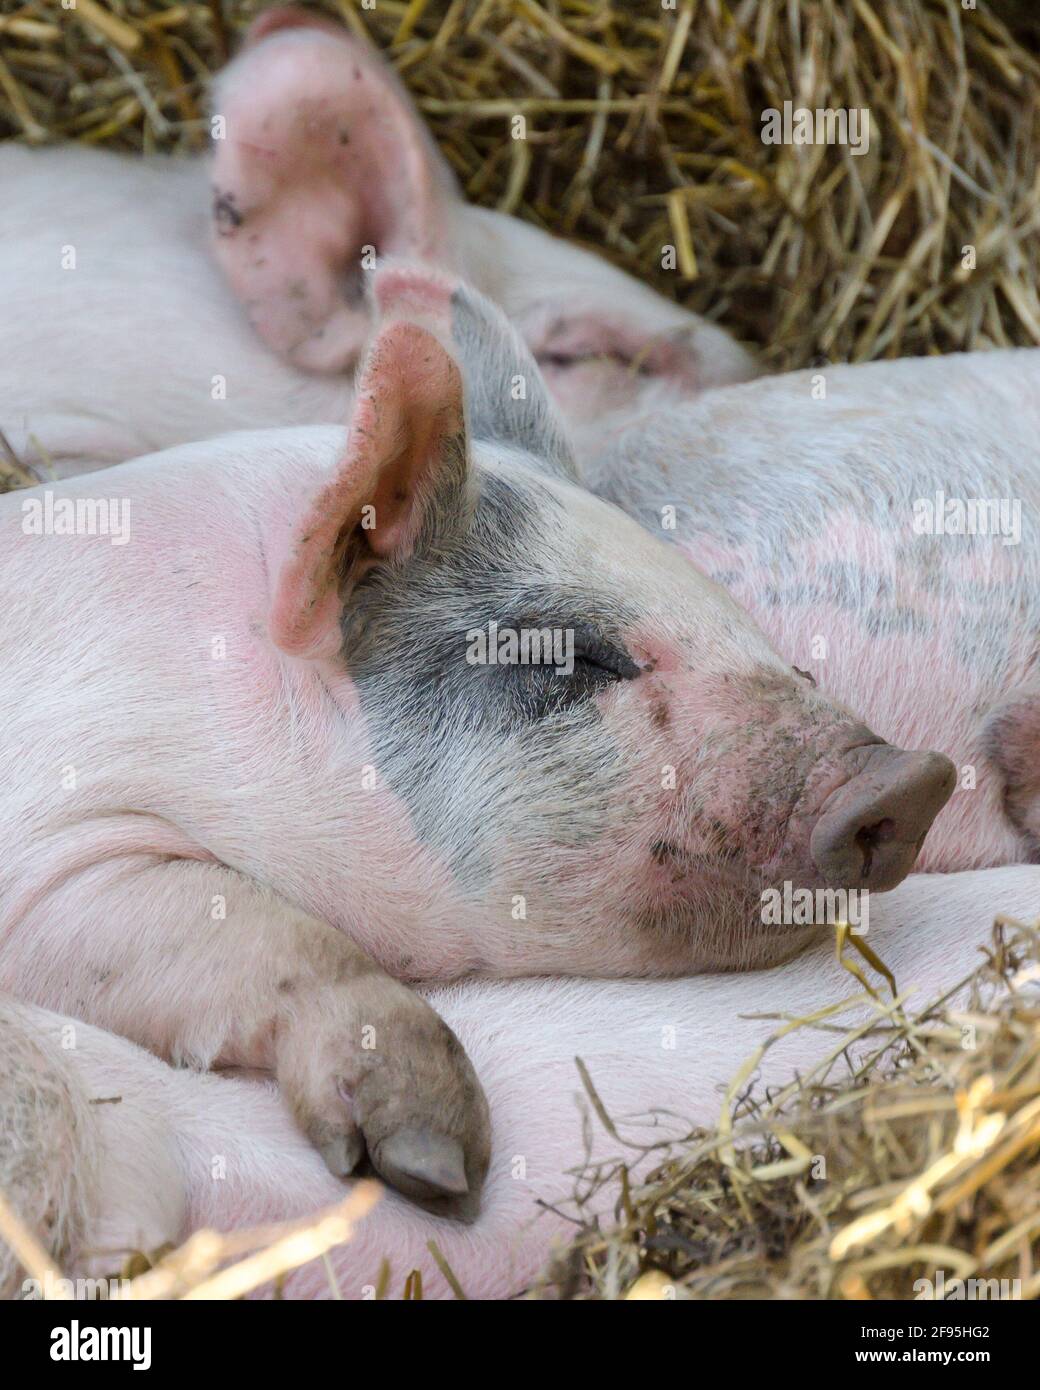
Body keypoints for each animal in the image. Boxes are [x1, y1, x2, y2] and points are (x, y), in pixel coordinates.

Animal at [0, 267, 952, 1214]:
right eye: (568, 655)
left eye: (740, 616)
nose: (910, 779)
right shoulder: (51, 855)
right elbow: (274, 934)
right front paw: (438, 1165)